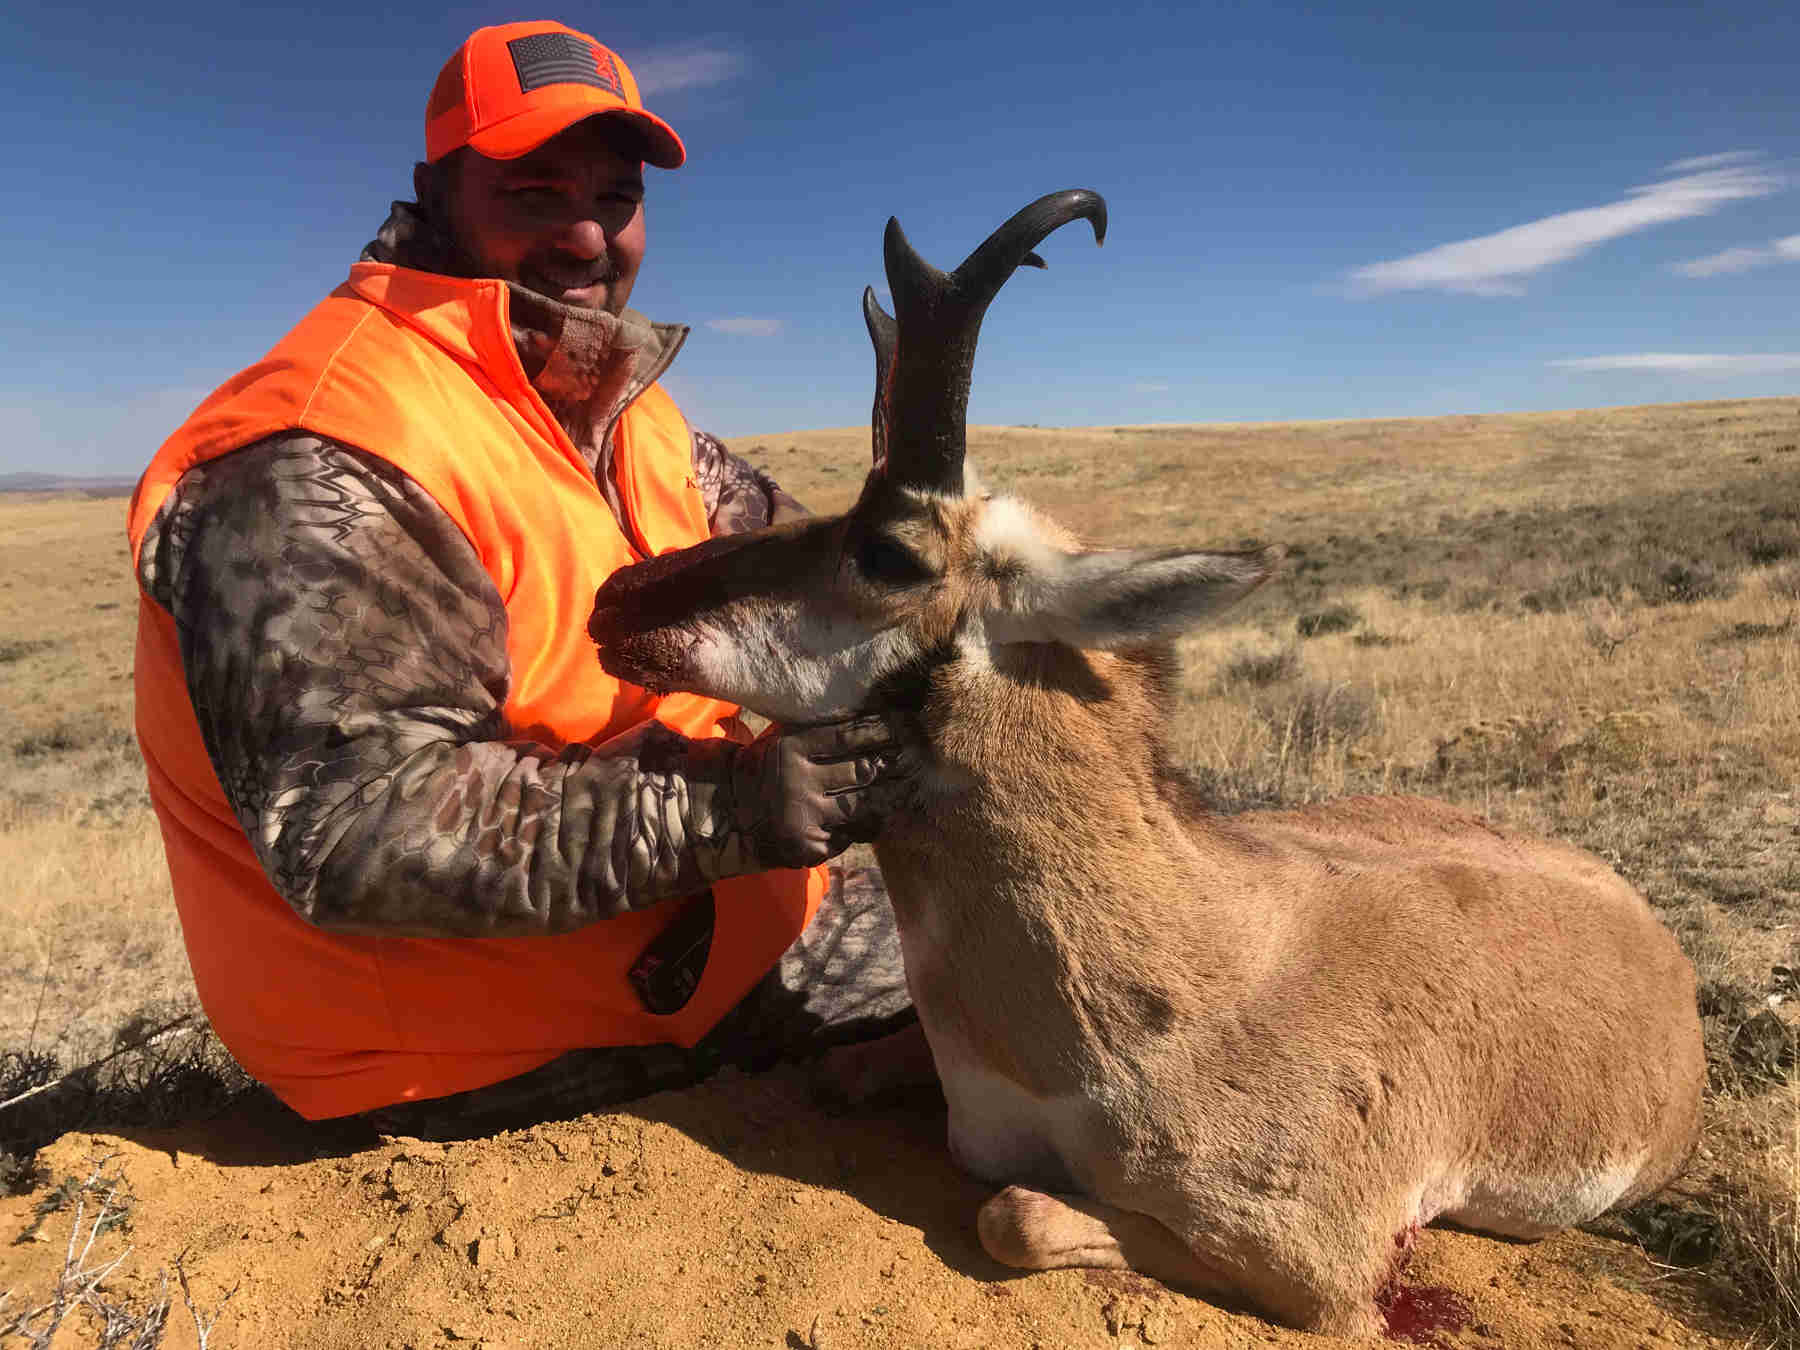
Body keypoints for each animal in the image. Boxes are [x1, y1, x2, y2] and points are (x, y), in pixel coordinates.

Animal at [586, 191, 1705, 1337]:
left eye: (888, 551)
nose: (614, 598)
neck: (1203, 967)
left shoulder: (1327, 1279)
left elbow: (1014, 1214)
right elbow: (856, 1086)